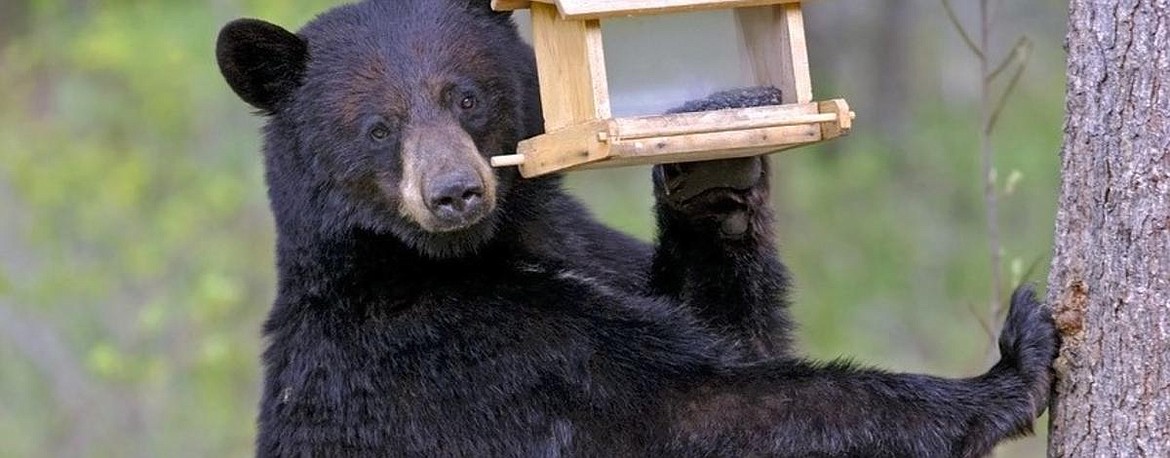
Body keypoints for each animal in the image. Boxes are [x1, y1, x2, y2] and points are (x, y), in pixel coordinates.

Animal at [214, 1, 1058, 456]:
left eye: (465, 98)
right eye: (377, 127)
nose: (455, 193)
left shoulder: (587, 248)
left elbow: (730, 333)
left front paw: (714, 164)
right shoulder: (464, 360)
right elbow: (699, 411)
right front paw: (1011, 367)